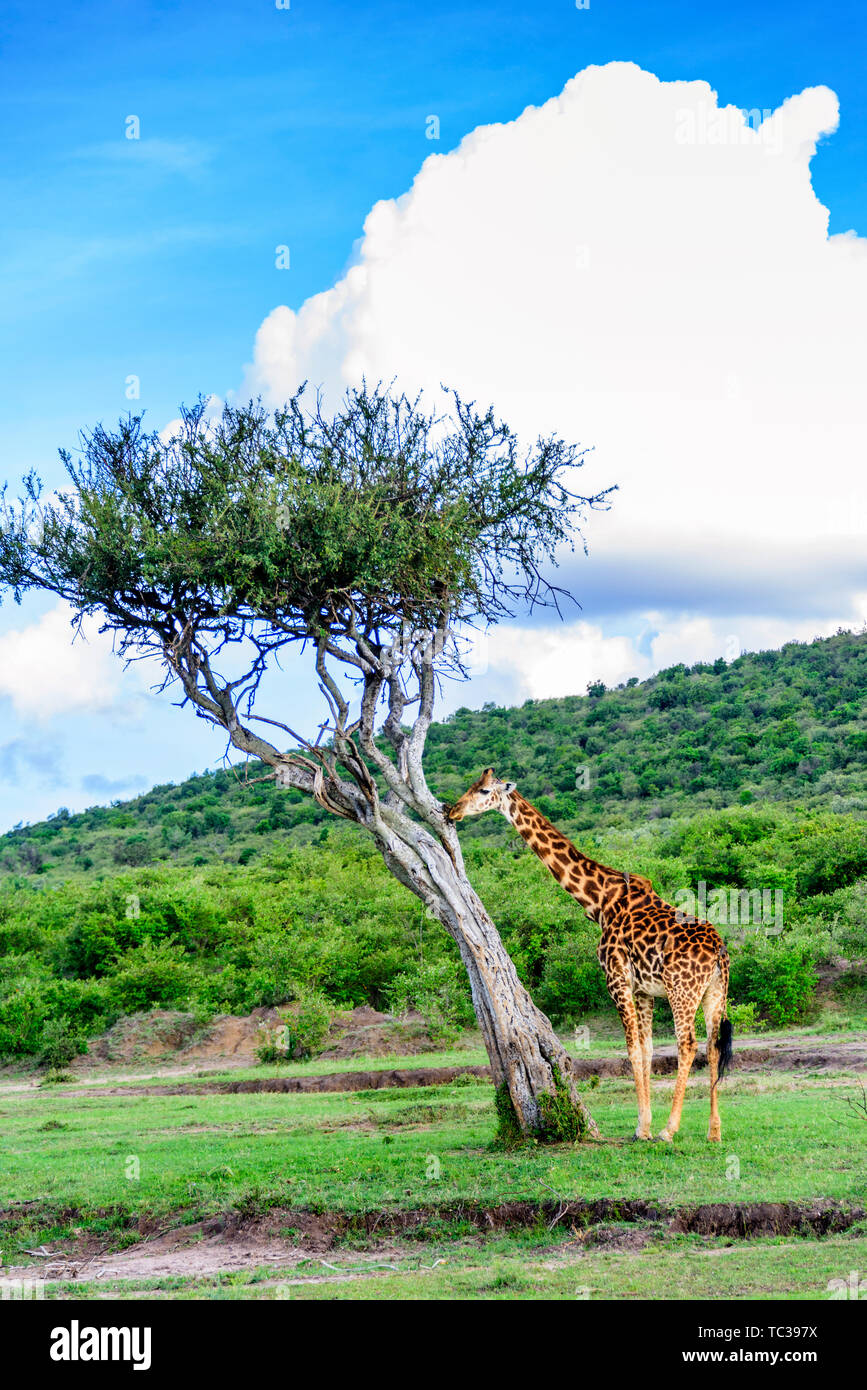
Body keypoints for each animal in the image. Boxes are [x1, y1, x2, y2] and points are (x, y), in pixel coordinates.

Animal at [448, 769, 733, 1142]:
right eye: (469, 786)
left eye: (483, 790)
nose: (451, 811)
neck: (599, 901)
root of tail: (719, 950)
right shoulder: (643, 989)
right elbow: (647, 1049)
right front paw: (645, 1123)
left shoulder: (616, 979)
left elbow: (632, 1048)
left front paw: (643, 1128)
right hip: (715, 991)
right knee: (714, 1045)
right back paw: (714, 1131)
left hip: (681, 991)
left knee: (688, 1044)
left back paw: (669, 1130)